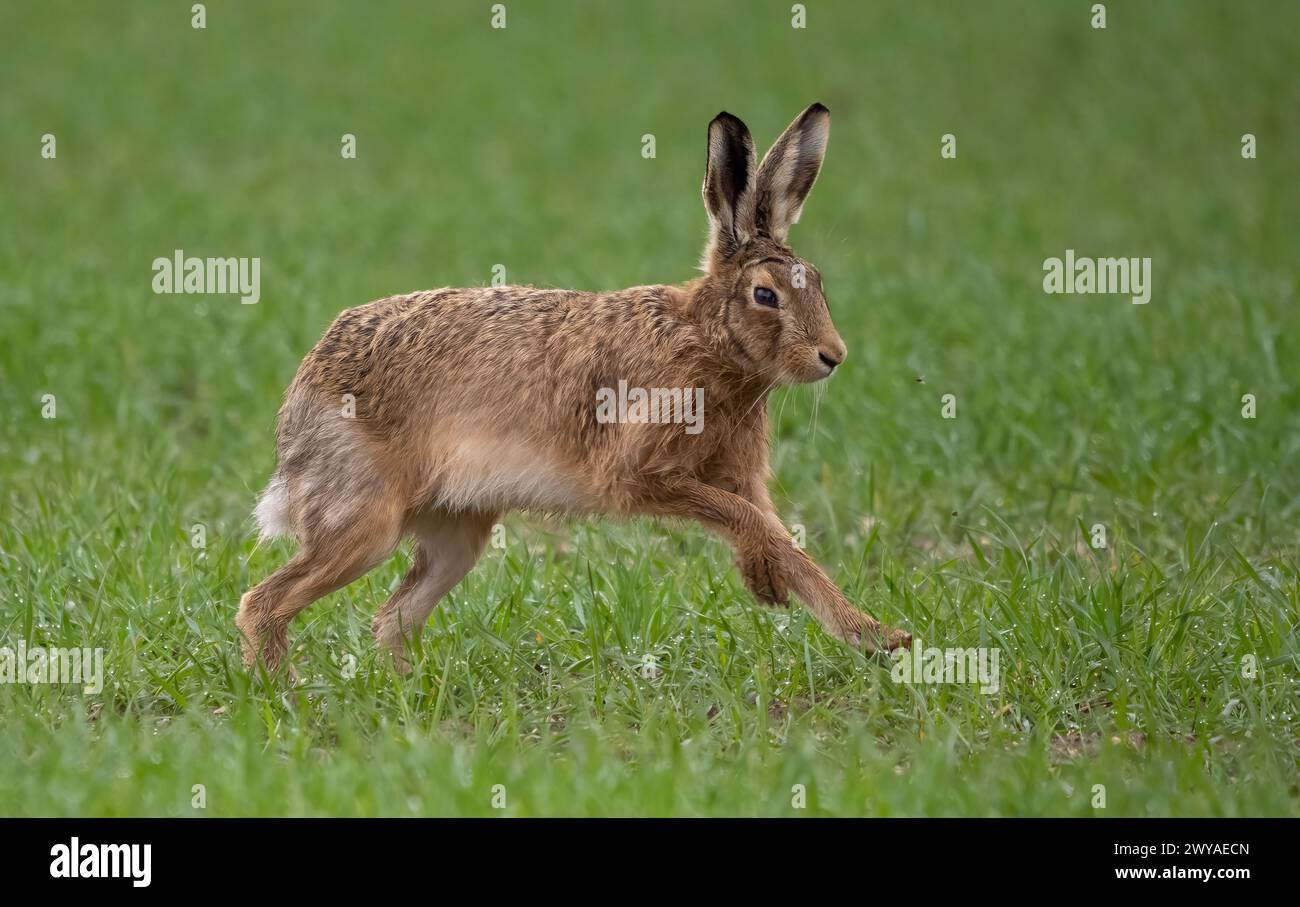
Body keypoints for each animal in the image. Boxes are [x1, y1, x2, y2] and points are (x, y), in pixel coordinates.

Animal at [236, 102, 912, 672]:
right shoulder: (640, 472)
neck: (705, 339)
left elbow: (781, 539)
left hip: (458, 531)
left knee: (393, 617)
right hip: (366, 521)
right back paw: (282, 691)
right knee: (263, 602)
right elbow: (748, 519)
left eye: (817, 282)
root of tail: (299, 404)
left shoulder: (735, 471)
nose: (833, 357)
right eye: (766, 295)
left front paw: (871, 634)